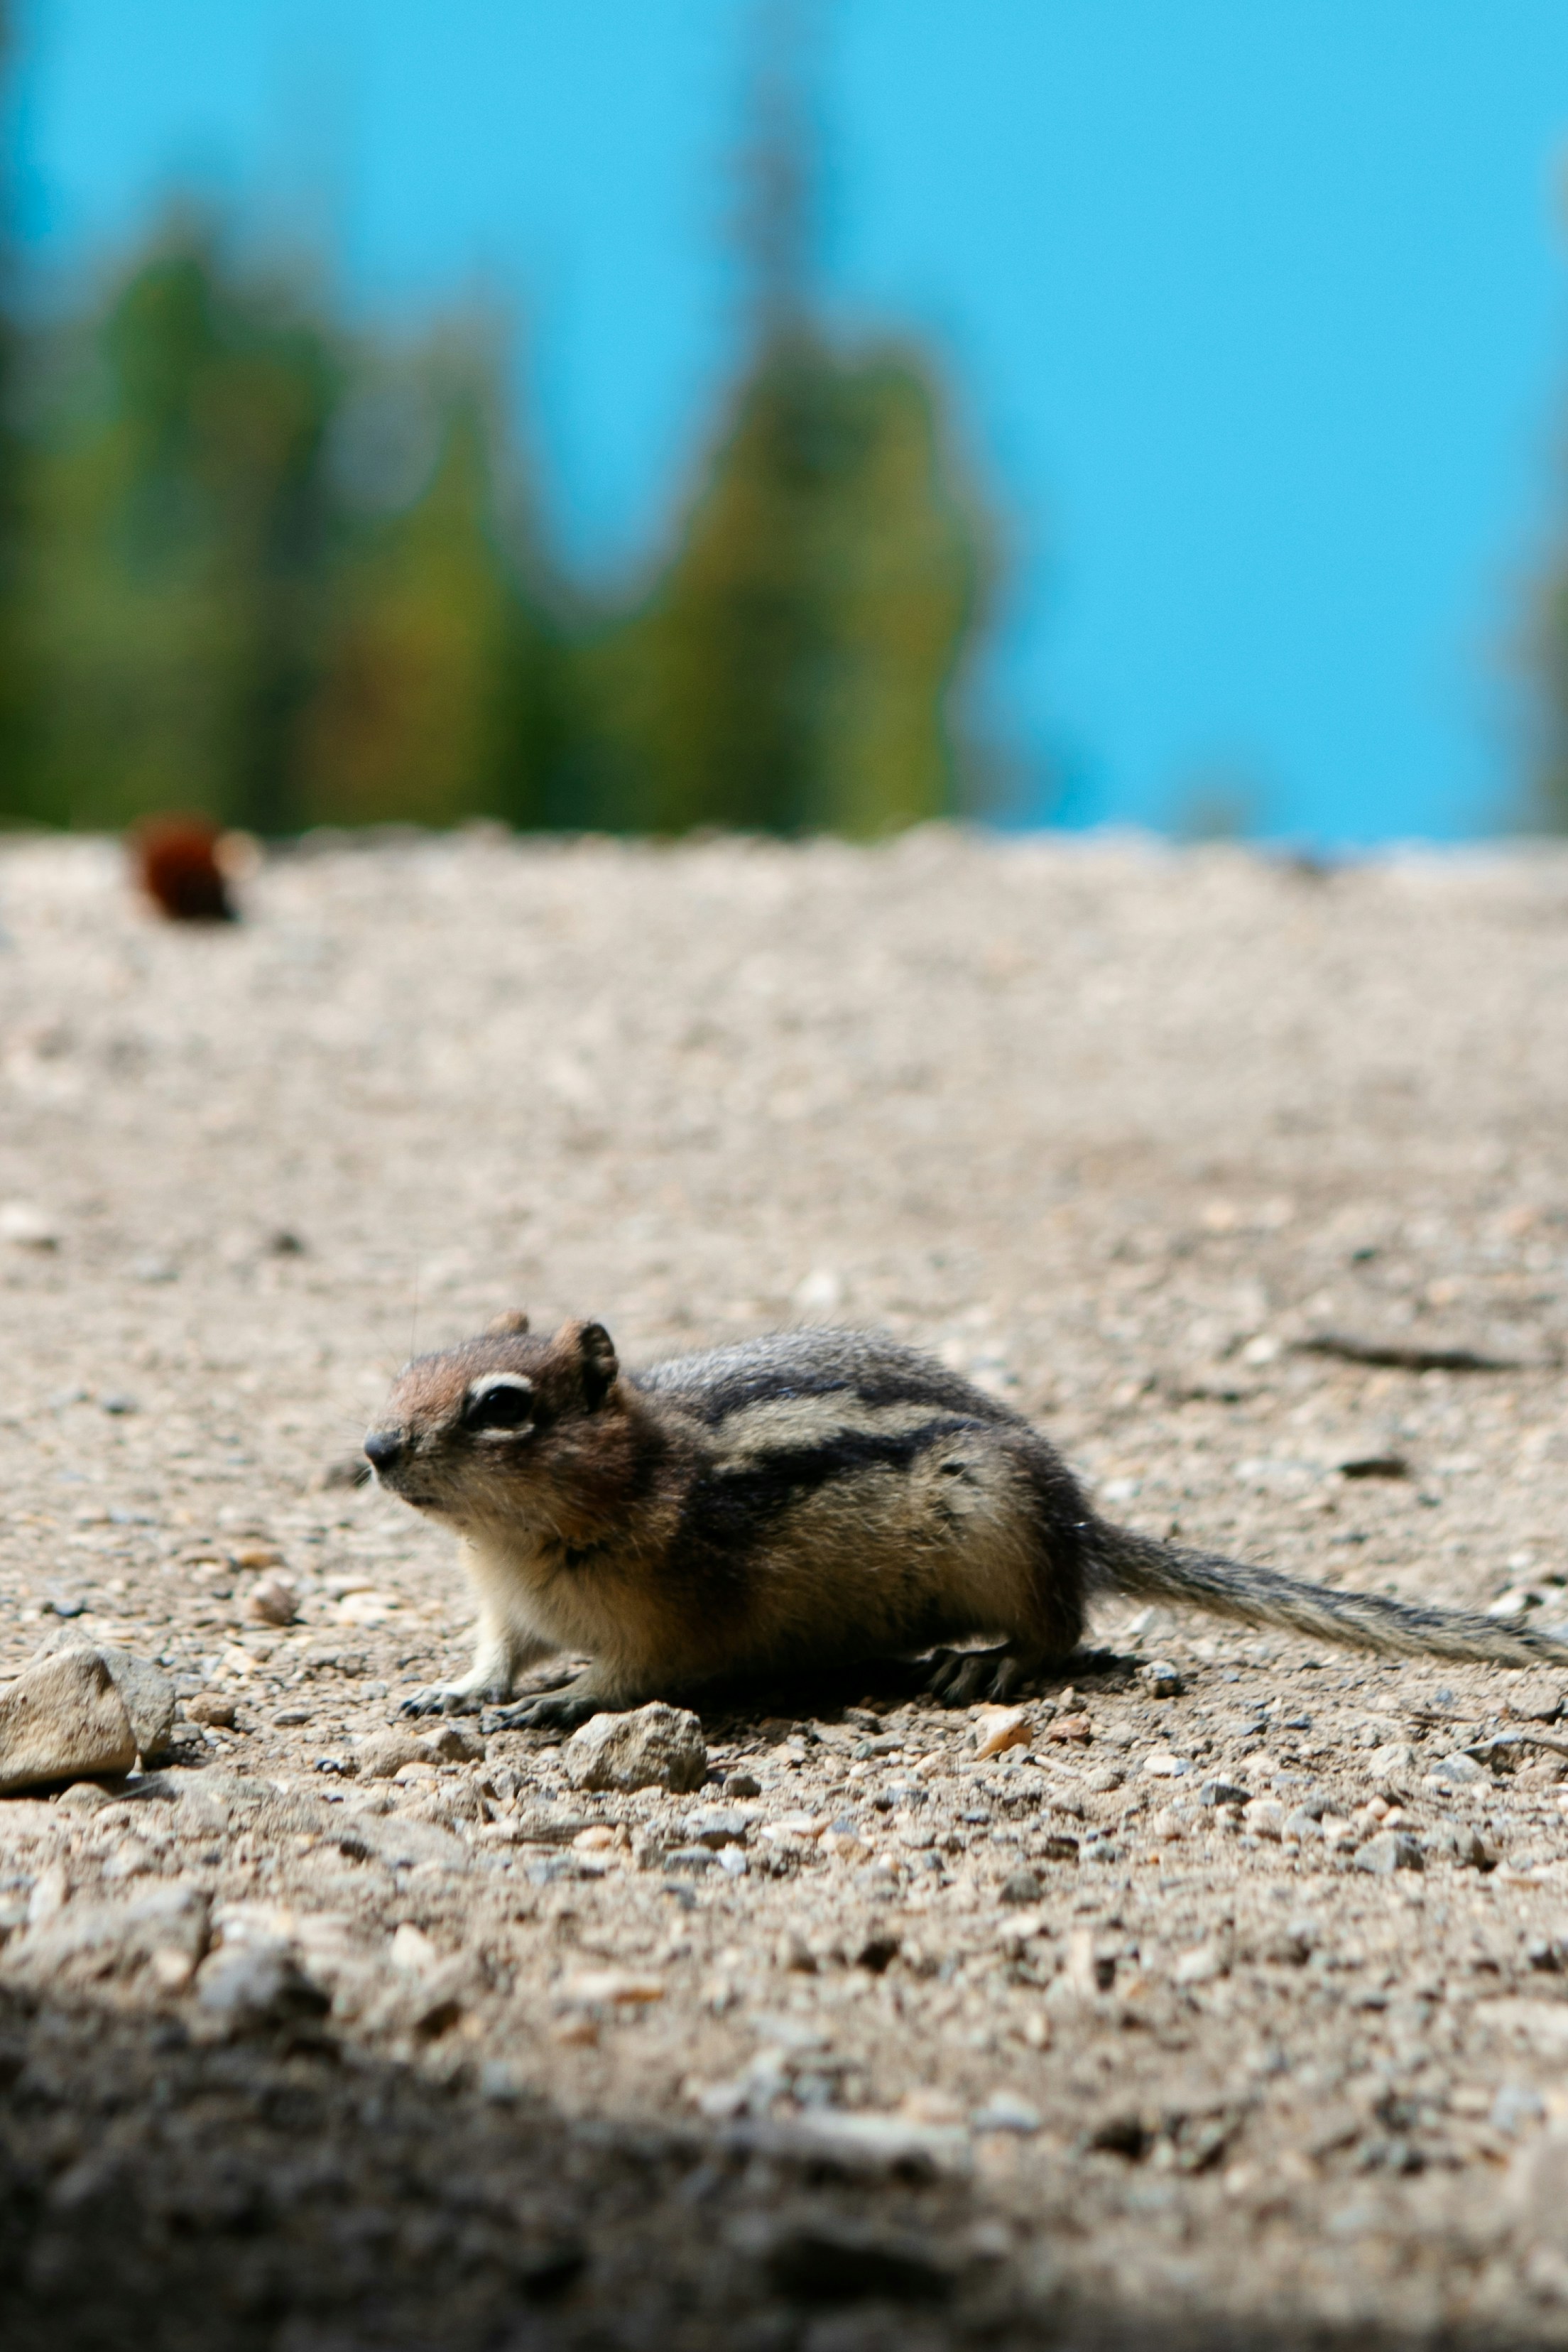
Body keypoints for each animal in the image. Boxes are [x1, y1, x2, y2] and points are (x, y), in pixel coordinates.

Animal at [363, 1311, 1568, 1728]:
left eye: (503, 1408)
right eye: (413, 1367)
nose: (374, 1449)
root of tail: (1078, 1522)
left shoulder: (668, 1626)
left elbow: (630, 1681)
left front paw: (558, 1704)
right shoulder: (503, 1606)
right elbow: (494, 1652)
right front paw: (460, 1689)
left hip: (996, 1525)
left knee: (1061, 1633)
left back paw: (986, 1664)